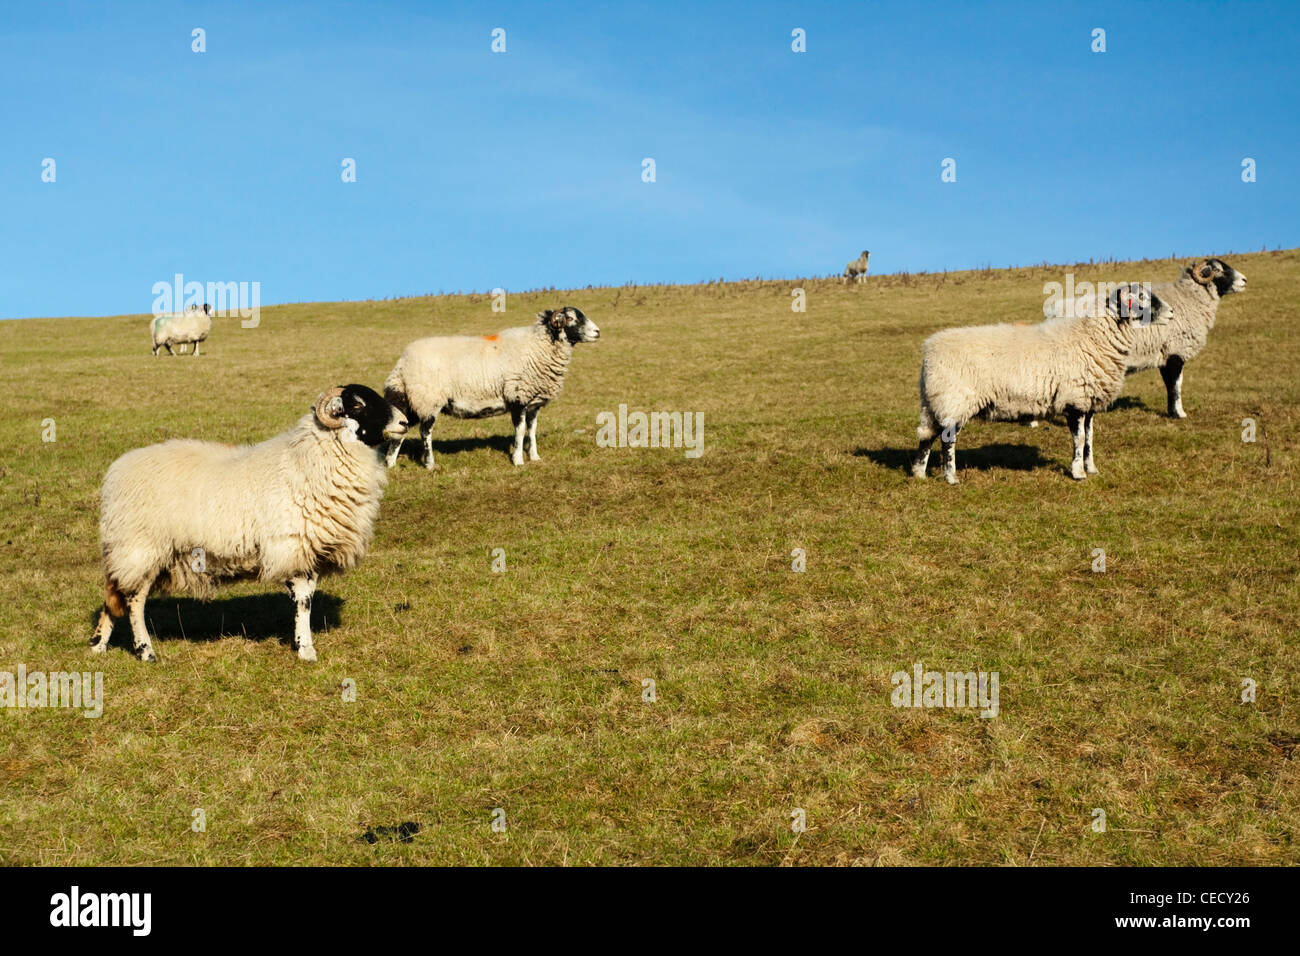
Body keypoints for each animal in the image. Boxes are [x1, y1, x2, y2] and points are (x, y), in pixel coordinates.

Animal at [90, 385, 409, 662]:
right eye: (357, 405)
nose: (405, 422)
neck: (306, 460)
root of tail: (117, 471)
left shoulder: (309, 552)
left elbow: (306, 597)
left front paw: (300, 642)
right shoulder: (292, 547)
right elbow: (304, 600)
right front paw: (306, 649)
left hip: (136, 552)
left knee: (115, 596)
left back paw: (98, 645)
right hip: (141, 547)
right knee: (134, 601)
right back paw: (145, 651)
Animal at [383, 306, 600, 469]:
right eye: (570, 318)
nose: (598, 332)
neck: (538, 346)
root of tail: (402, 363)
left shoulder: (533, 403)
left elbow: (532, 430)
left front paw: (535, 457)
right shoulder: (517, 397)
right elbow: (520, 431)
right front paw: (518, 460)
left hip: (410, 400)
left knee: (401, 428)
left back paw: (390, 463)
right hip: (428, 399)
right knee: (425, 432)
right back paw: (429, 464)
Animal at [911, 283, 1172, 484]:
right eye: (1141, 296)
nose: (1171, 313)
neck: (1093, 338)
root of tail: (929, 350)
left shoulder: (1088, 402)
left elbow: (1089, 438)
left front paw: (1092, 468)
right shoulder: (1074, 399)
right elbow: (1079, 439)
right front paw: (1078, 473)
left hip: (933, 402)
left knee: (926, 435)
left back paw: (919, 473)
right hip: (954, 399)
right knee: (947, 438)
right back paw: (950, 477)